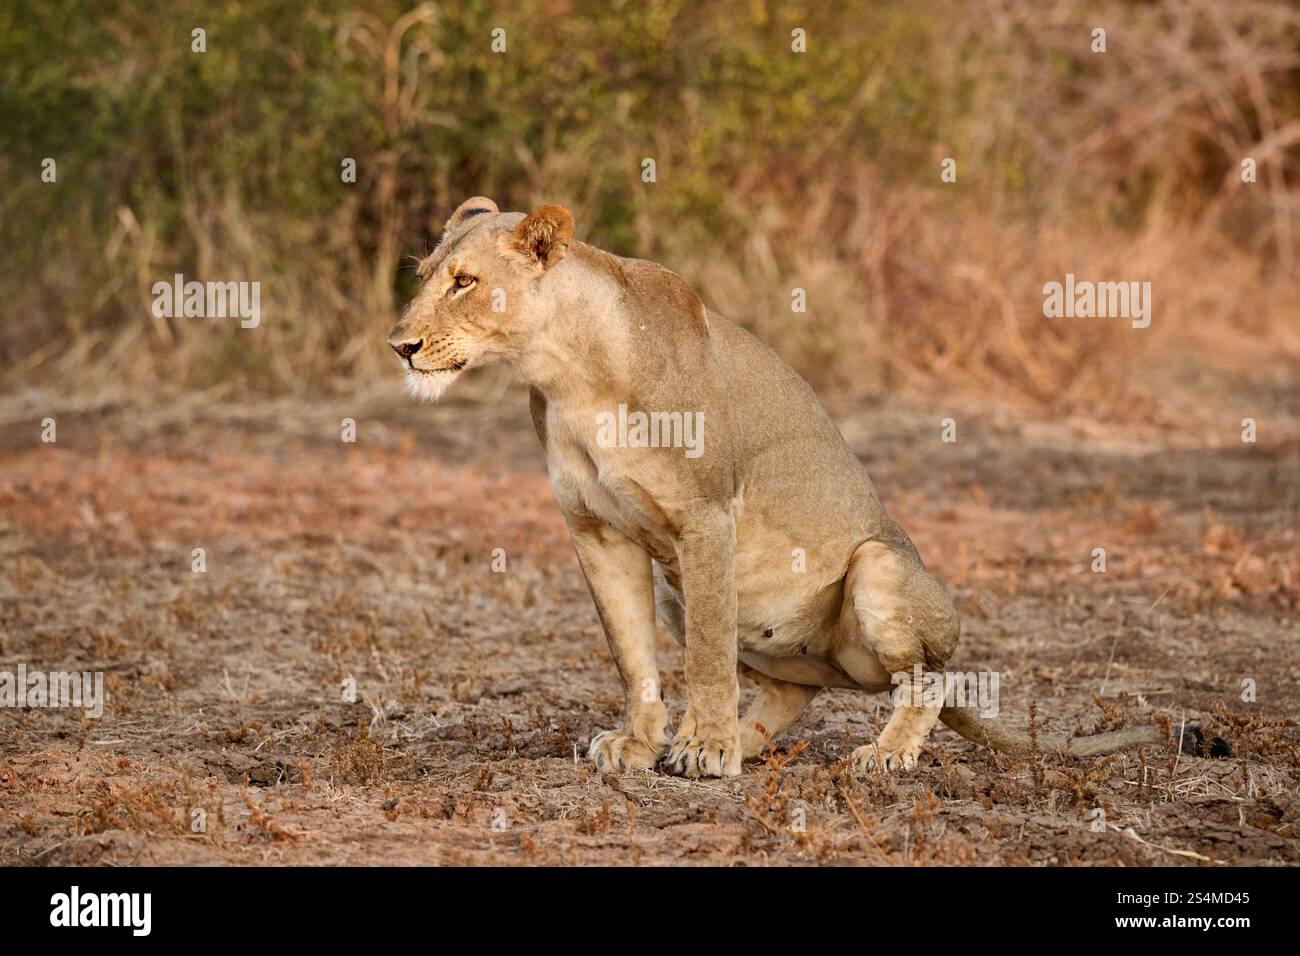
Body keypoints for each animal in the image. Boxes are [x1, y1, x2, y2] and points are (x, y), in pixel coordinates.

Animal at [387, 197, 1229, 778]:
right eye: (425, 277)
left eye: (464, 283)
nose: (401, 345)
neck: (565, 368)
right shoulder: (597, 532)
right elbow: (633, 654)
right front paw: (643, 744)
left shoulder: (705, 517)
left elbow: (704, 655)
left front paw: (705, 750)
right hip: (699, 596)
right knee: (797, 690)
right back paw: (751, 740)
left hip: (878, 567)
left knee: (929, 679)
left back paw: (879, 756)